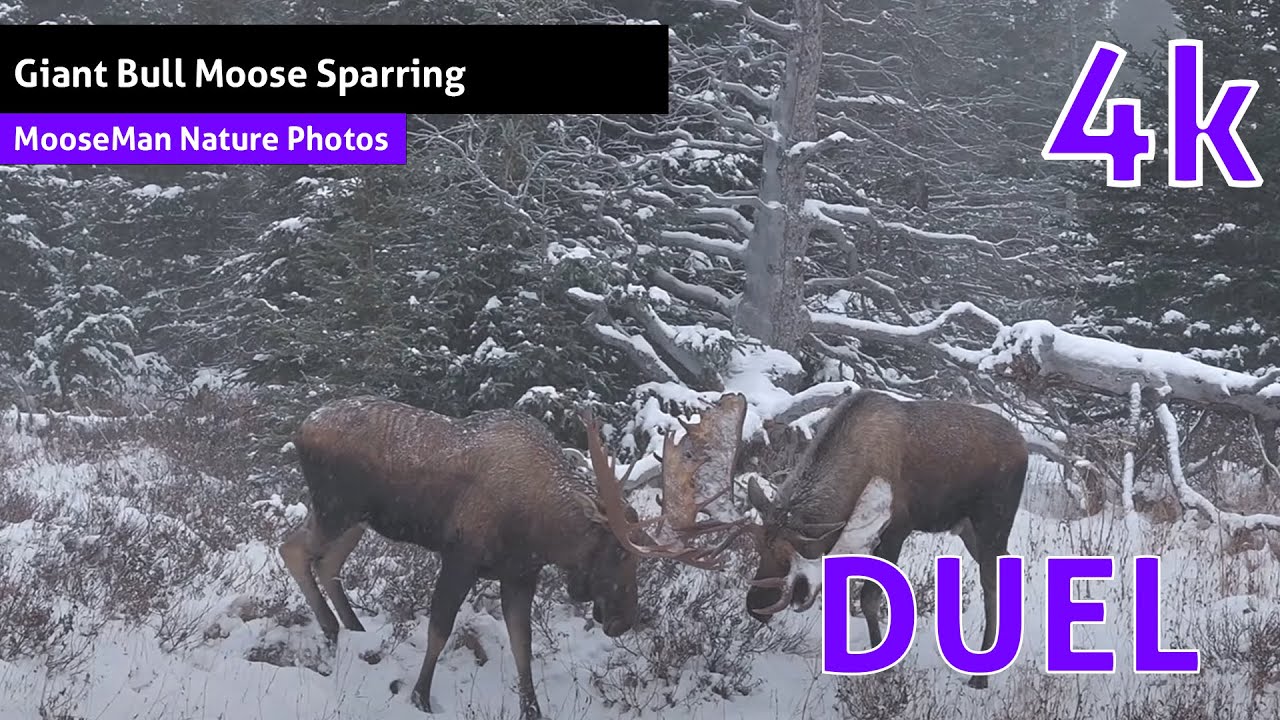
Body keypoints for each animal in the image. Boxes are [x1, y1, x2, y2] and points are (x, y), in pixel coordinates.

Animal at [278, 394, 756, 719]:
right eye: (622, 556)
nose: (624, 621)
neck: (540, 531)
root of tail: (300, 429)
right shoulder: (461, 557)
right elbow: (439, 630)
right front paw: (421, 696)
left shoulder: (521, 574)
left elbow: (522, 644)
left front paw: (533, 709)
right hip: (336, 506)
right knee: (293, 549)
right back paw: (330, 629)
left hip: (357, 519)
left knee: (326, 562)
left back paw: (352, 629)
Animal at [740, 388, 1029, 690]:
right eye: (759, 549)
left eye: (787, 560)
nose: (755, 606)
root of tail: (1024, 447)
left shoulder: (896, 531)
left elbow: (870, 599)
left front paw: (885, 672)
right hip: (968, 529)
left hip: (993, 522)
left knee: (991, 584)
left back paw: (980, 676)